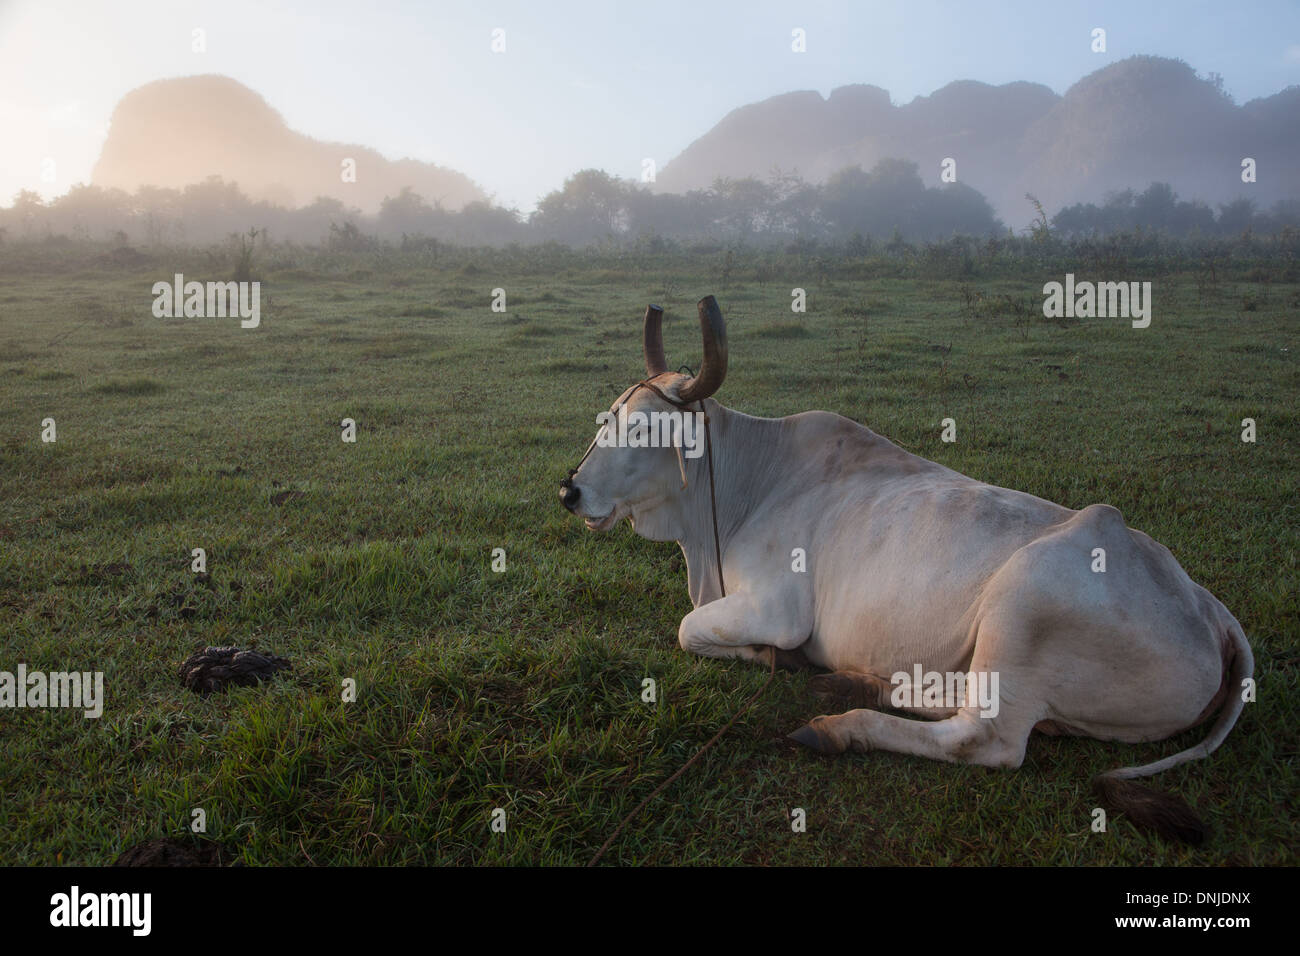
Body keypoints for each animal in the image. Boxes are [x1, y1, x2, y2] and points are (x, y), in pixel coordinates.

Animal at [559, 295, 1253, 844]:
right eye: (607, 419)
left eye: (644, 430)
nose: (570, 491)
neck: (734, 496)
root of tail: (1211, 612)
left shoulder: (777, 610)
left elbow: (689, 629)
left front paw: (772, 658)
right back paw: (854, 684)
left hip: (1021, 603)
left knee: (983, 737)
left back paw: (840, 725)